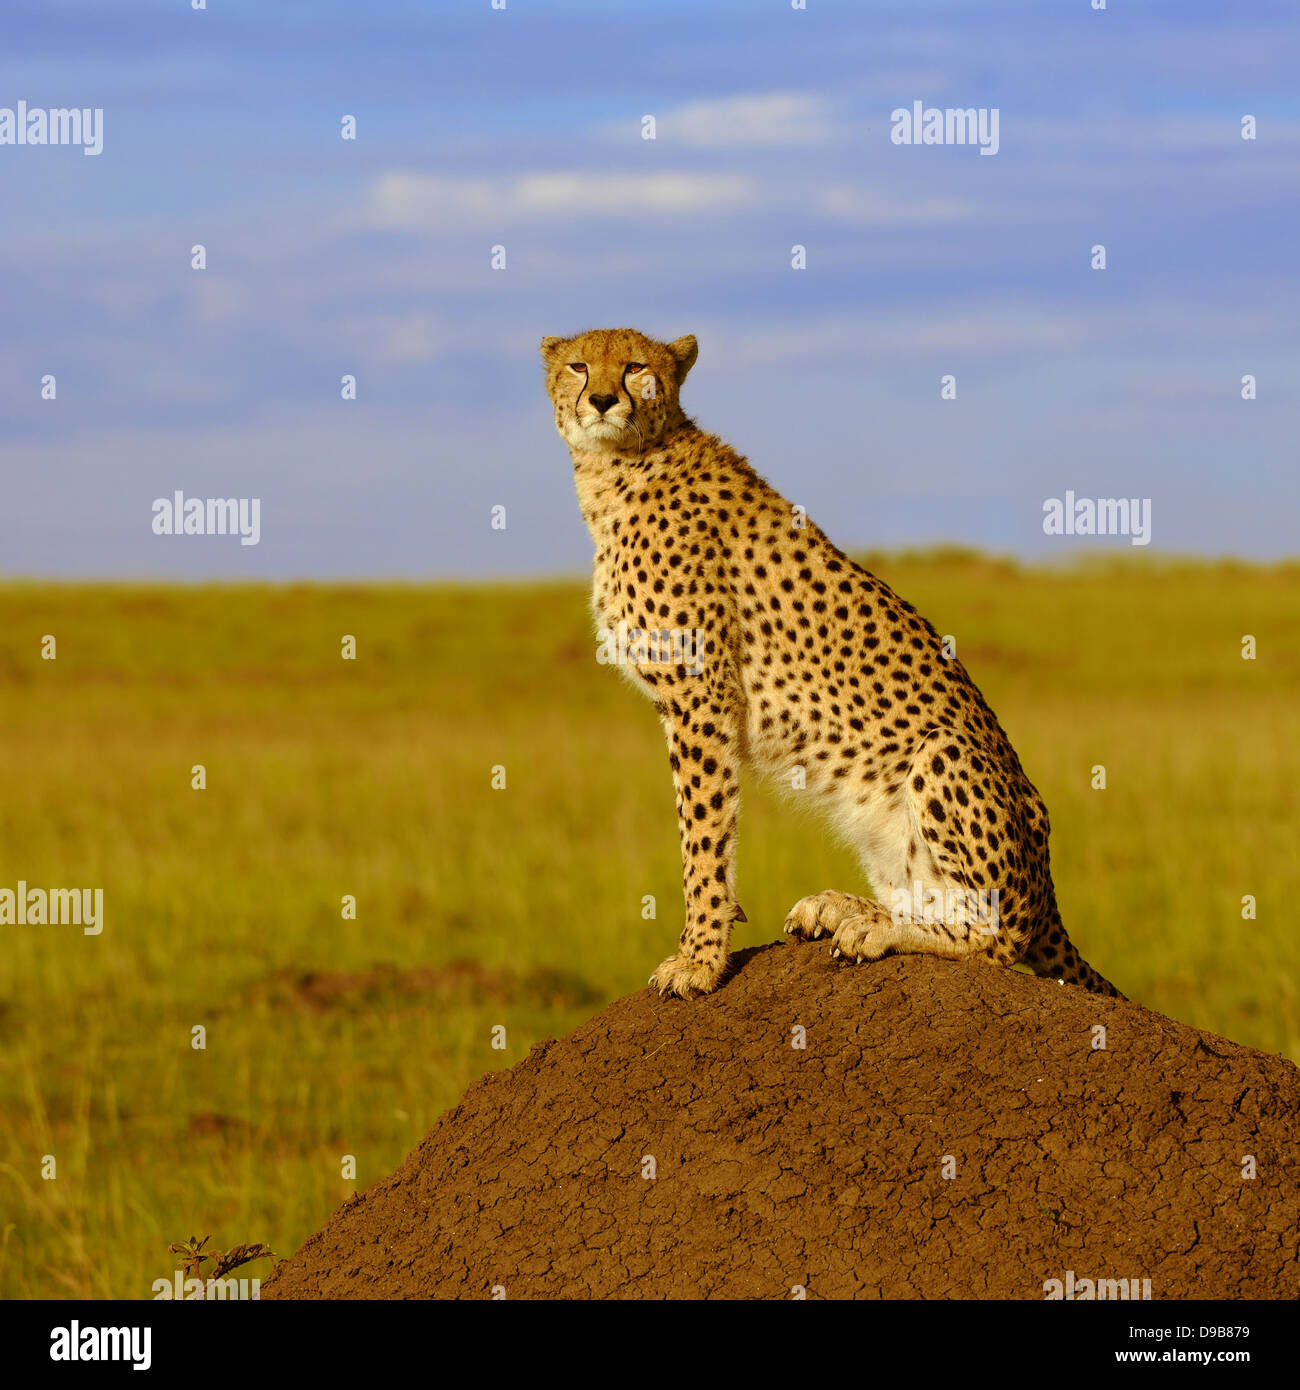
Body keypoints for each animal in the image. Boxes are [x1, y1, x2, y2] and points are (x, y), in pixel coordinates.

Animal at [541, 326, 1124, 1002]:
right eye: (578, 366)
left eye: (635, 366)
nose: (603, 399)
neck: (616, 469)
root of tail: (1049, 885)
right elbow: (701, 830)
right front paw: (706, 949)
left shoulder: (700, 697)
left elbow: (704, 836)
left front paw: (700, 959)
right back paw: (846, 909)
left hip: (943, 753)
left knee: (997, 938)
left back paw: (879, 930)